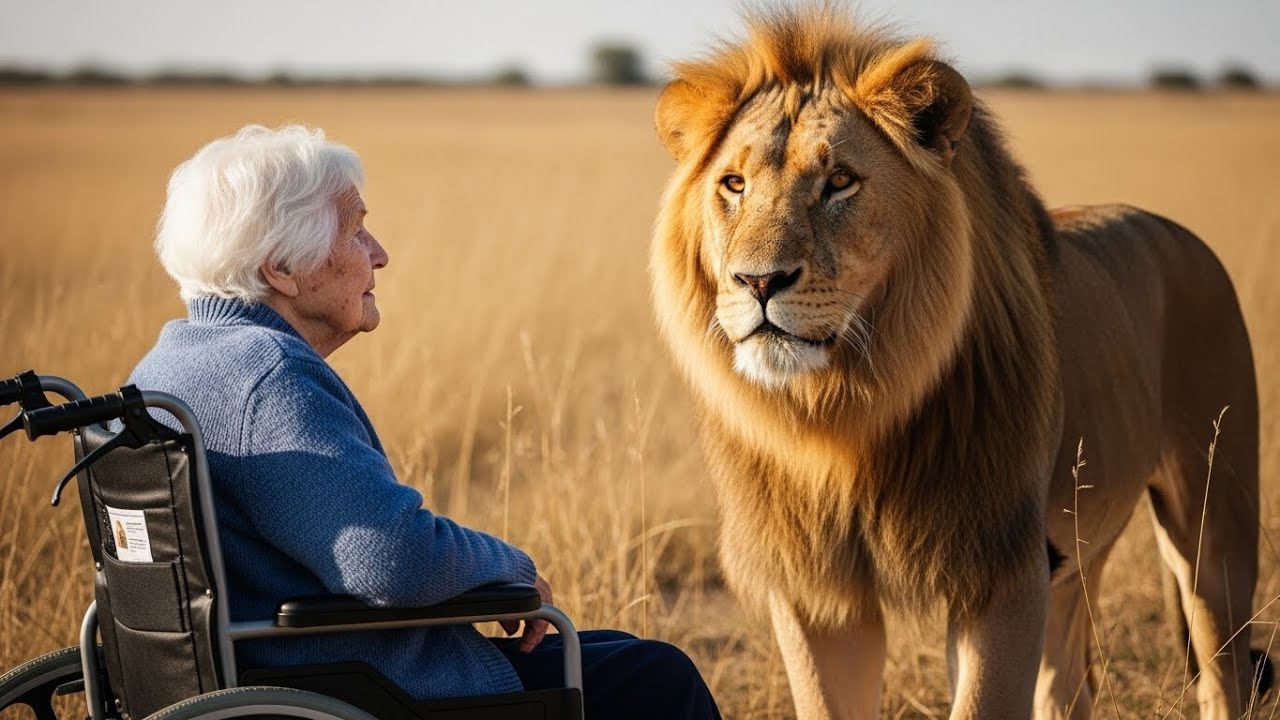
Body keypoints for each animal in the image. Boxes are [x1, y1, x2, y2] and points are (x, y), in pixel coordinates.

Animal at [650, 7, 1267, 719]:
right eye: (734, 184)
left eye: (839, 182)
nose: (757, 281)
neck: (848, 412)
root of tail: (1173, 228)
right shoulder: (816, 591)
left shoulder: (1002, 571)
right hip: (1076, 563)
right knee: (1068, 685)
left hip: (1215, 525)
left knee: (1222, 667)